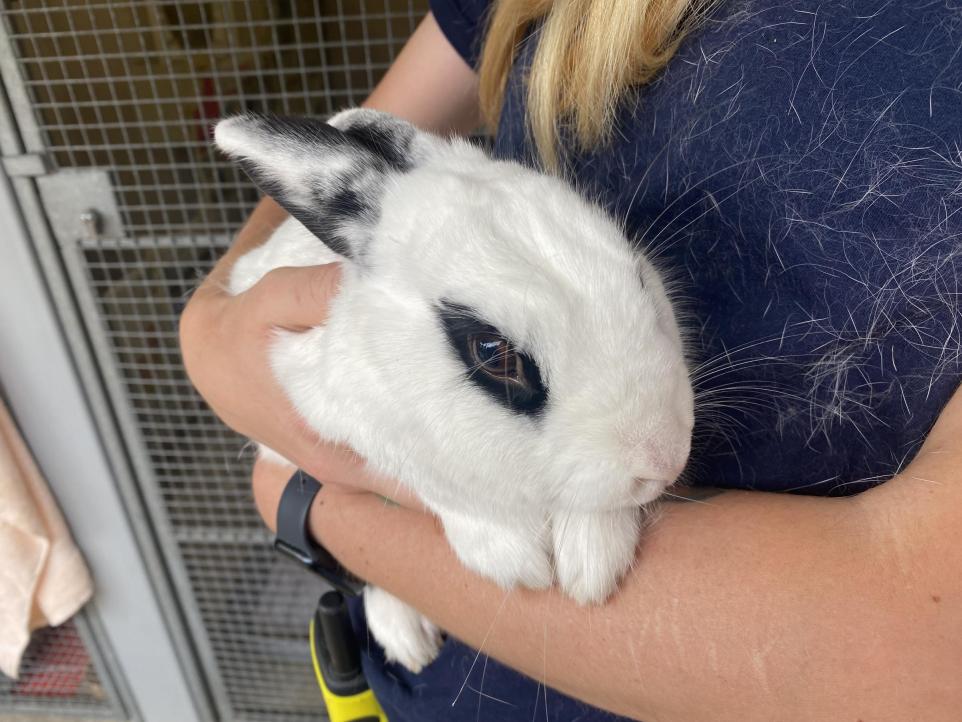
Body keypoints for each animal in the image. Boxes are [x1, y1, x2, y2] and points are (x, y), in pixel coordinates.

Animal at [214, 108, 695, 673]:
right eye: (492, 352)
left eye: (639, 277)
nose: (664, 460)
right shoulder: (332, 407)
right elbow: (439, 480)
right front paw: (513, 557)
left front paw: (593, 556)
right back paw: (407, 640)